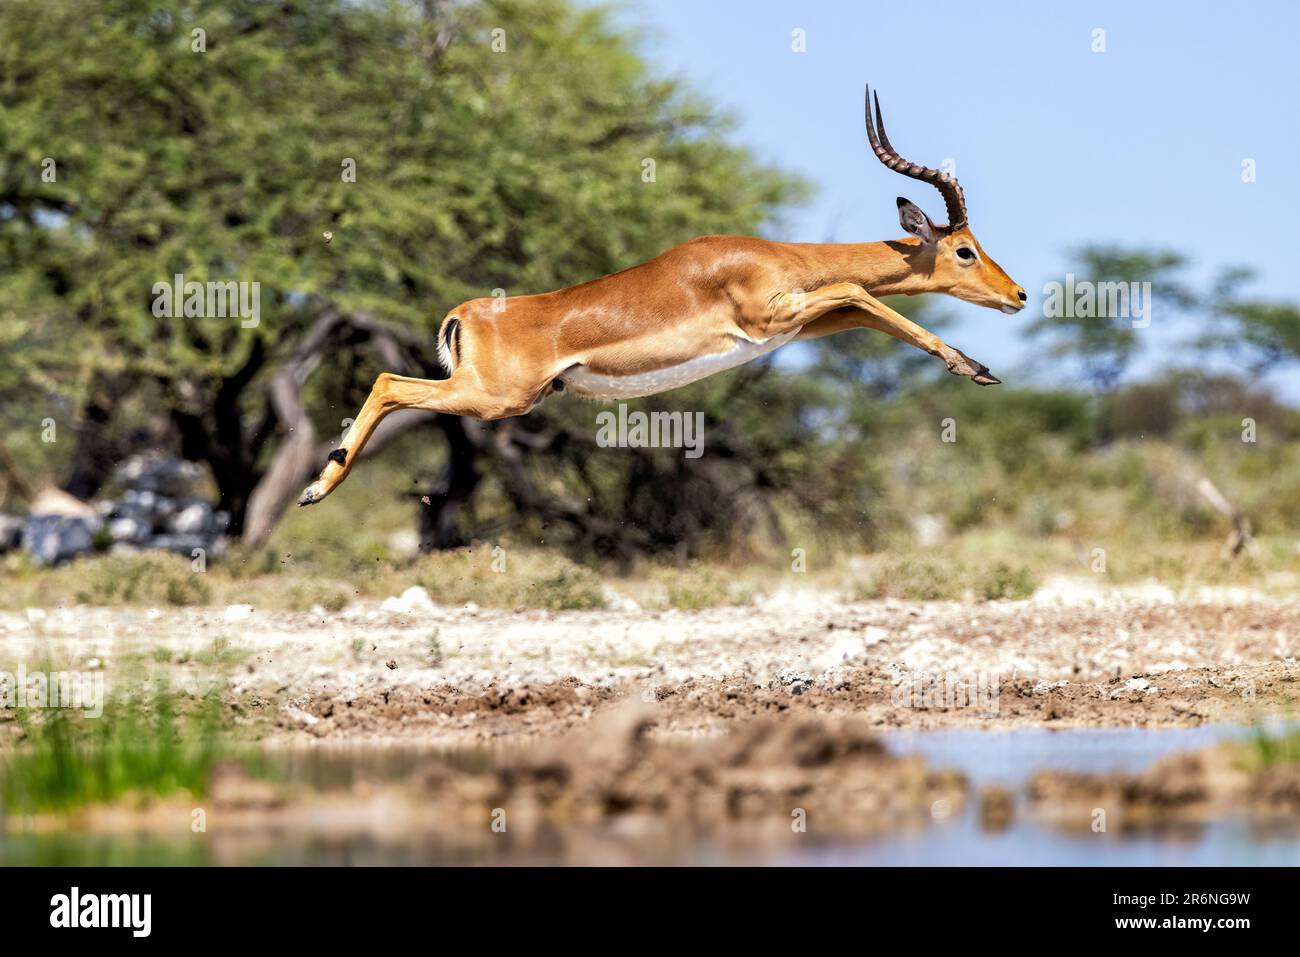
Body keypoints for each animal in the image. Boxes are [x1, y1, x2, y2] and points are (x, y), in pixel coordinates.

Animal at [298, 85, 1026, 507]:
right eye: (964, 248)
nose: (1017, 294)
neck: (773, 255)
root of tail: (464, 313)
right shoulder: (770, 316)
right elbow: (854, 287)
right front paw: (976, 366)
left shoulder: (799, 323)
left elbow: (865, 311)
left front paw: (976, 368)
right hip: (494, 397)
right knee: (389, 381)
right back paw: (315, 486)